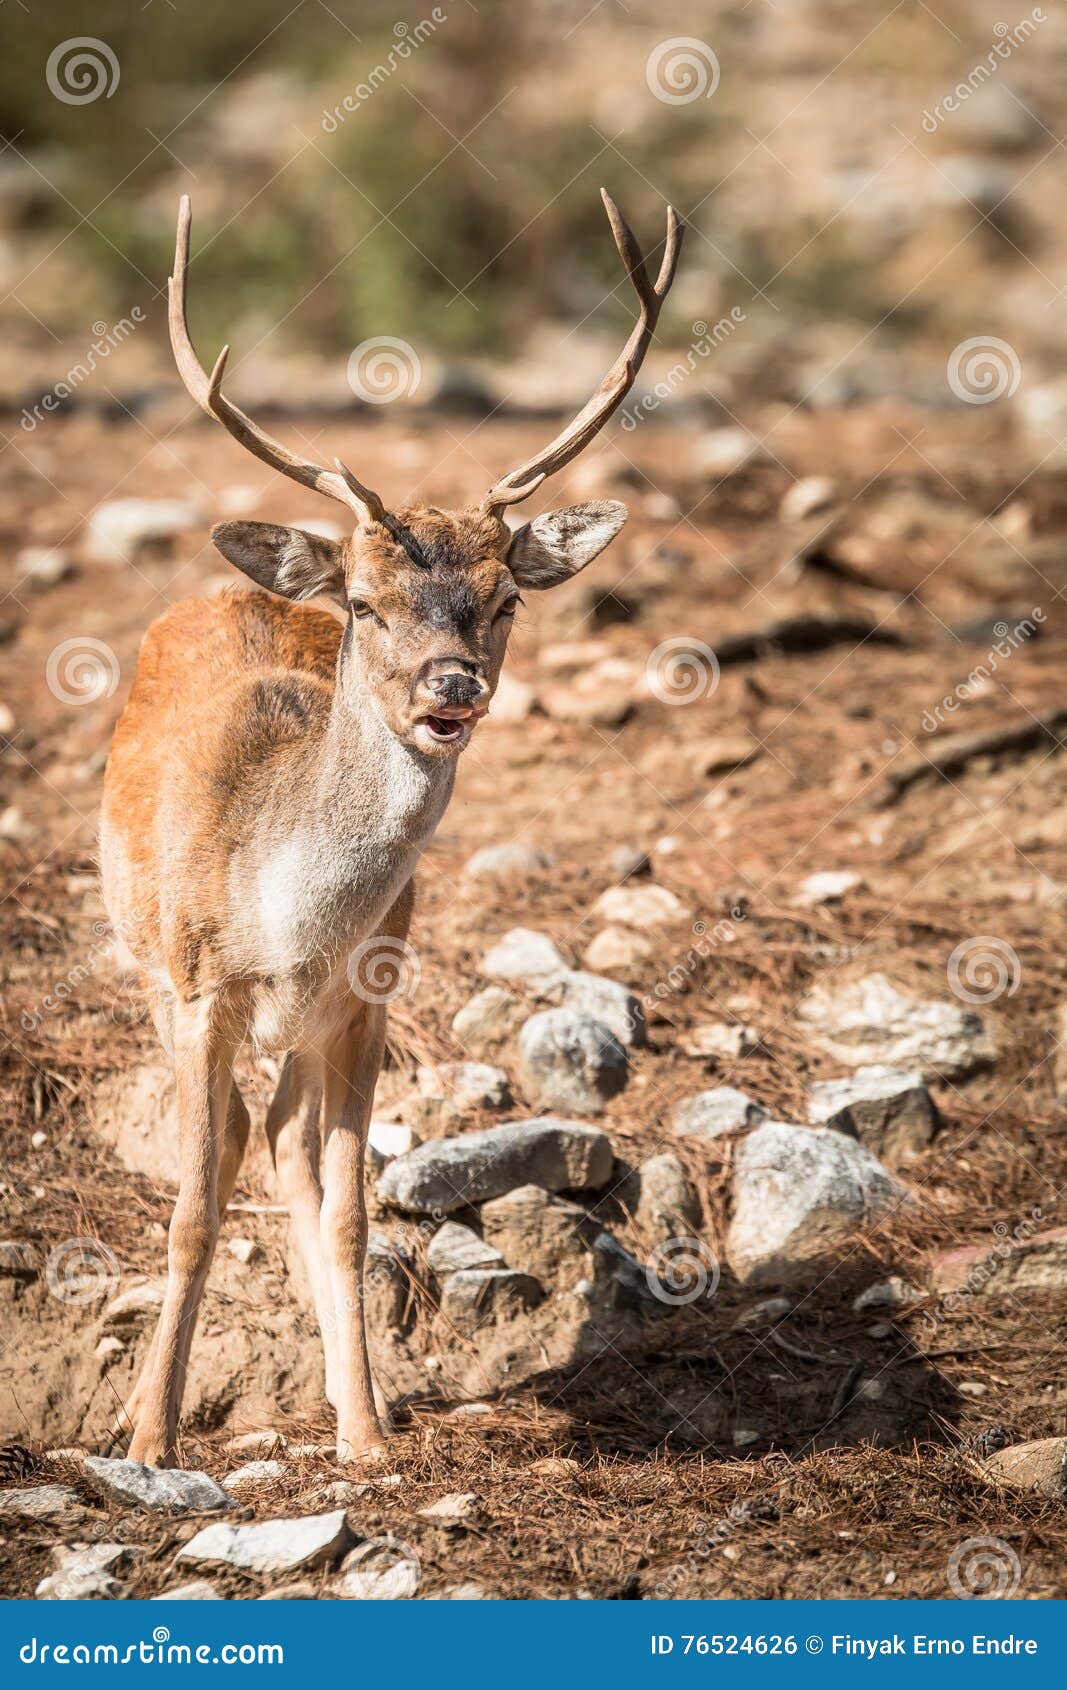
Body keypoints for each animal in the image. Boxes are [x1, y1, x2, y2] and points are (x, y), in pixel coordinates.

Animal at [99, 189, 683, 1469]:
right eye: (368, 604)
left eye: (504, 597)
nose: (449, 686)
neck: (283, 920)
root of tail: (245, 582)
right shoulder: (199, 985)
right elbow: (191, 1208)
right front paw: (152, 1438)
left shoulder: (367, 995)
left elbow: (347, 1208)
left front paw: (366, 1434)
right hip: (147, 965)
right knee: (233, 1141)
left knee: (283, 1141)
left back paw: (344, 1393)